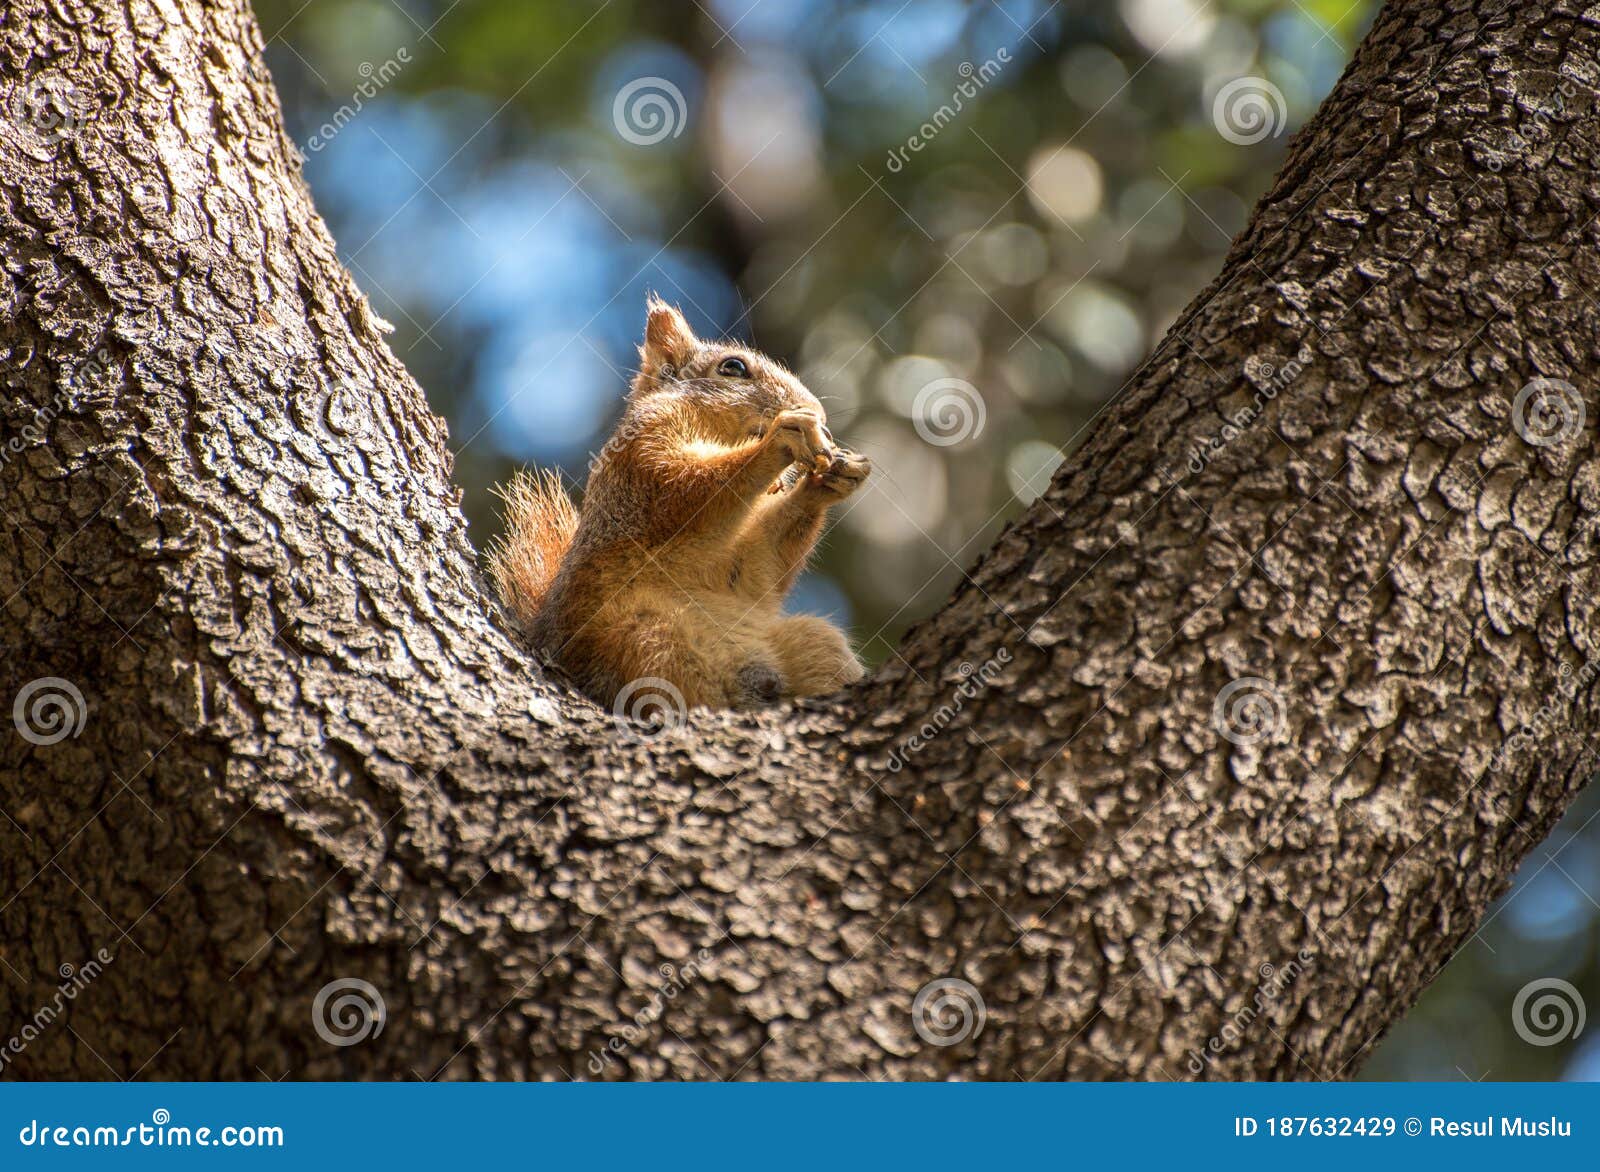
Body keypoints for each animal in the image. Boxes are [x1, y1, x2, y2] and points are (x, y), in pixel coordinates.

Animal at [489, 297, 871, 711]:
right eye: (733, 367)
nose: (819, 413)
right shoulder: (641, 460)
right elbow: (685, 487)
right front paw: (782, 437)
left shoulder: (737, 565)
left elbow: (760, 563)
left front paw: (827, 480)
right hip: (644, 637)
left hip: (815, 644)